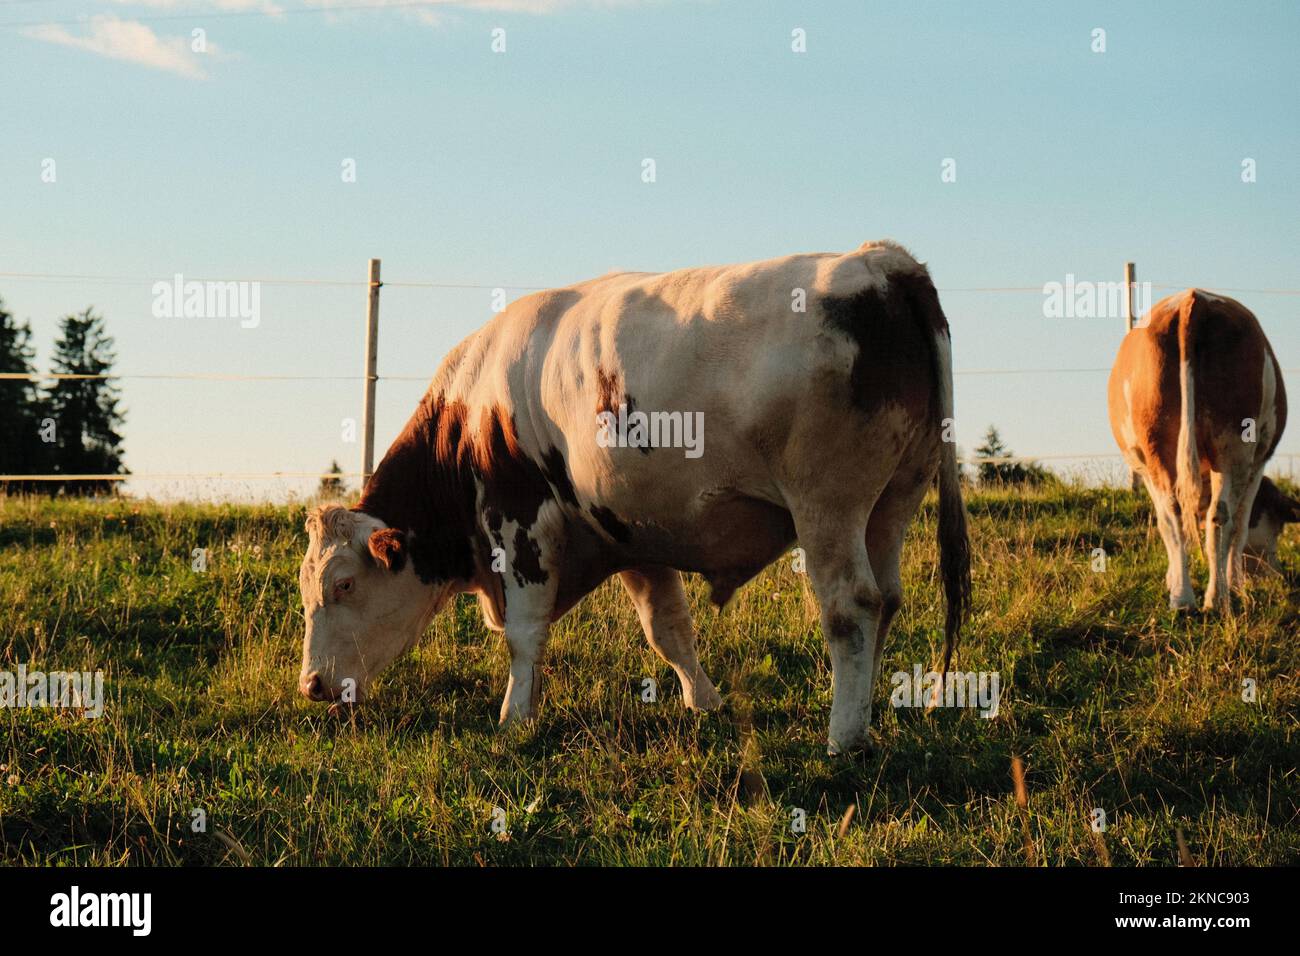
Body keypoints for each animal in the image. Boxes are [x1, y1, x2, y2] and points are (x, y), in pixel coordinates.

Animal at [297, 240, 971, 755]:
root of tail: (881, 261)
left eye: (344, 585)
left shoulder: (519, 524)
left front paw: (514, 719)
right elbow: (668, 629)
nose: (312, 686)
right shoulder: (632, 533)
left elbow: (523, 632)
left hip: (827, 506)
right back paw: (866, 715)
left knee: (851, 607)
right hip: (893, 502)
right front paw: (705, 703)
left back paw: (844, 737)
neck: (474, 410)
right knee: (888, 599)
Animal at [1108, 289, 1288, 610]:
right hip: (1233, 446)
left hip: (1163, 444)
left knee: (1177, 514)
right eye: (1278, 528)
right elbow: (1241, 527)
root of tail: (1194, 300)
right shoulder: (1259, 463)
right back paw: (1214, 597)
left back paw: (1187, 599)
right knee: (1220, 517)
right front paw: (1237, 585)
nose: (1278, 574)